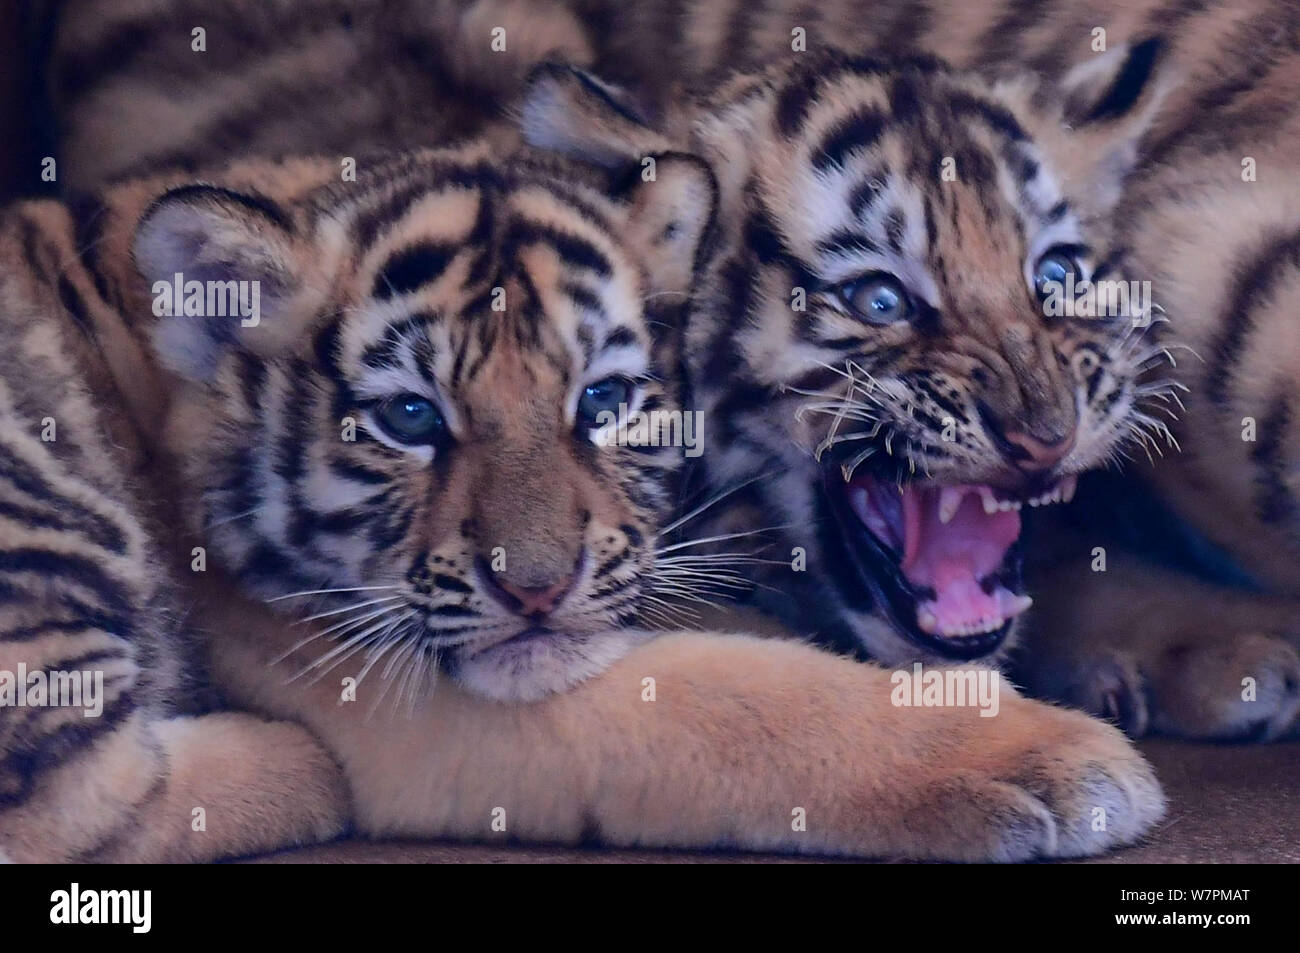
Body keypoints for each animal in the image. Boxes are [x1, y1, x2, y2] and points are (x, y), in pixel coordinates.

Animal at [0, 139, 1164, 862]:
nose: (536, 589)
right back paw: (291, 764)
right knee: (74, 806)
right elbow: (744, 696)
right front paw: (1057, 760)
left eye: (601, 401)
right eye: (410, 418)